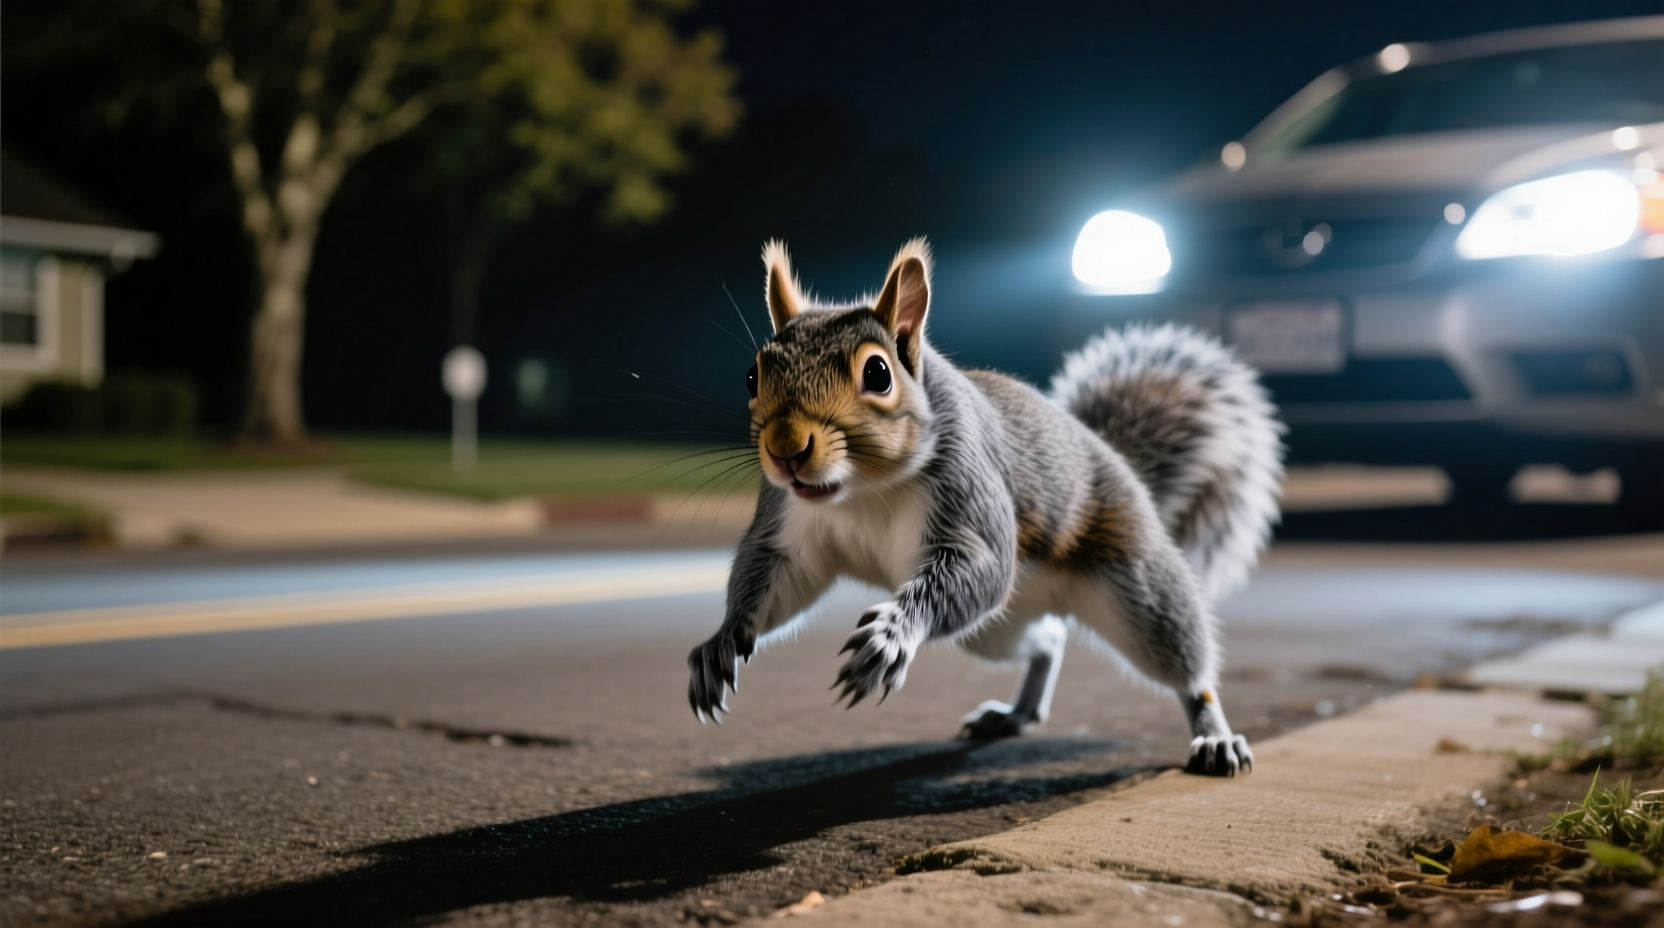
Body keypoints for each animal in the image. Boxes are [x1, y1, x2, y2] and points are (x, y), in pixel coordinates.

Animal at [687, 238, 1284, 776]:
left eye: (878, 373)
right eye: (752, 375)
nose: (786, 448)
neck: (863, 491)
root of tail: (1110, 453)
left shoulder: (968, 487)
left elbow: (982, 568)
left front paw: (890, 637)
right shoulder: (790, 530)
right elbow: (774, 582)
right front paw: (721, 643)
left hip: (1135, 584)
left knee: (1184, 661)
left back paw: (1214, 737)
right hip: (996, 631)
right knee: (1047, 641)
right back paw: (1015, 713)